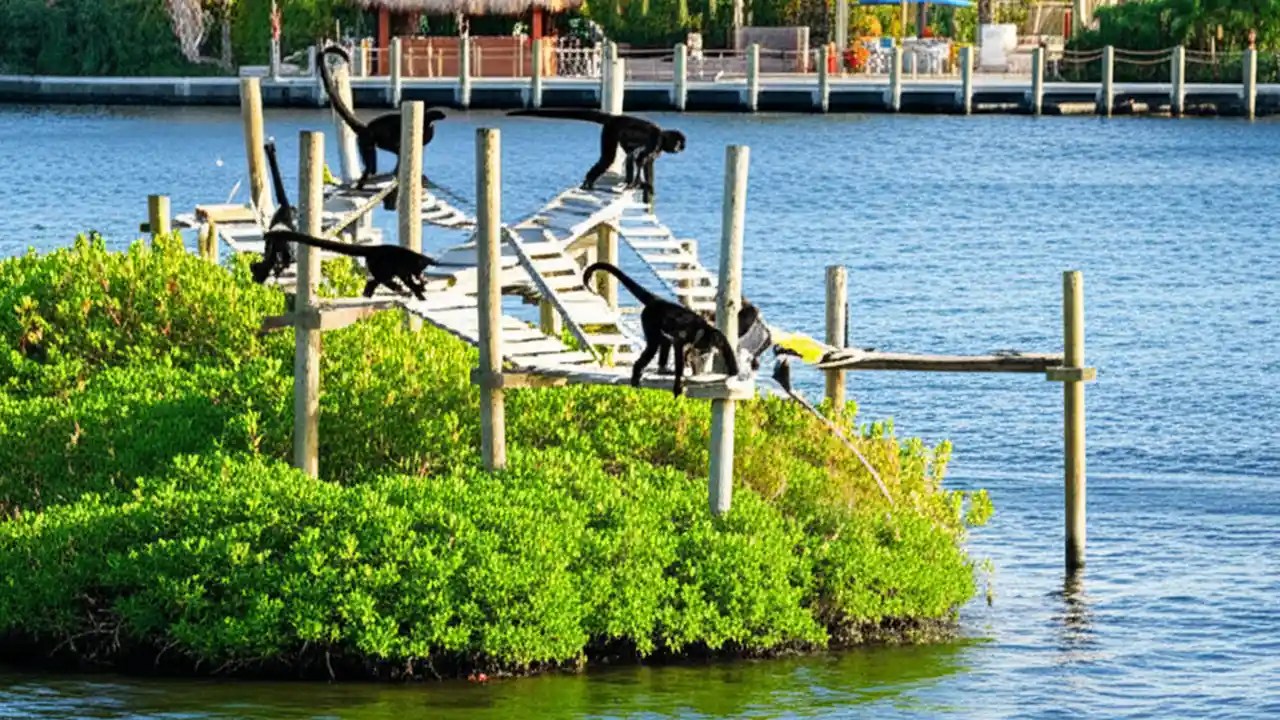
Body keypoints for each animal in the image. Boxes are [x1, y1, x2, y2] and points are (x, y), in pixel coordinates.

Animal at [262, 230, 438, 301]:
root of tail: (374, 249)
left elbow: (408, 279)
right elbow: (407, 278)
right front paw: (418, 290)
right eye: (421, 269)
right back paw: (392, 288)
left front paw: (420, 287)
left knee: (376, 279)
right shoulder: (405, 266)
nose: (423, 276)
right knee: (381, 277)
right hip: (380, 264)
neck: (414, 259)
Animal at [505, 109, 686, 196]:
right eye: (678, 143)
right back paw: (589, 181)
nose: (679, 148)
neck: (662, 136)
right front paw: (637, 183)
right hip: (611, 130)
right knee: (608, 158)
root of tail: (614, 117)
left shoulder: (657, 148)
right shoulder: (655, 139)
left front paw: (645, 184)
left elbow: (642, 160)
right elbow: (640, 158)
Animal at [583, 262, 738, 397]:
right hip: (648, 319)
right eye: (705, 347)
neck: (703, 330)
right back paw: (637, 370)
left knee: (664, 341)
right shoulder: (689, 333)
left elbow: (726, 348)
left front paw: (733, 373)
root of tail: (658, 301)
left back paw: (663, 369)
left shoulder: (718, 337)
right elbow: (678, 345)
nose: (707, 351)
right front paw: (678, 382)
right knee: (654, 344)